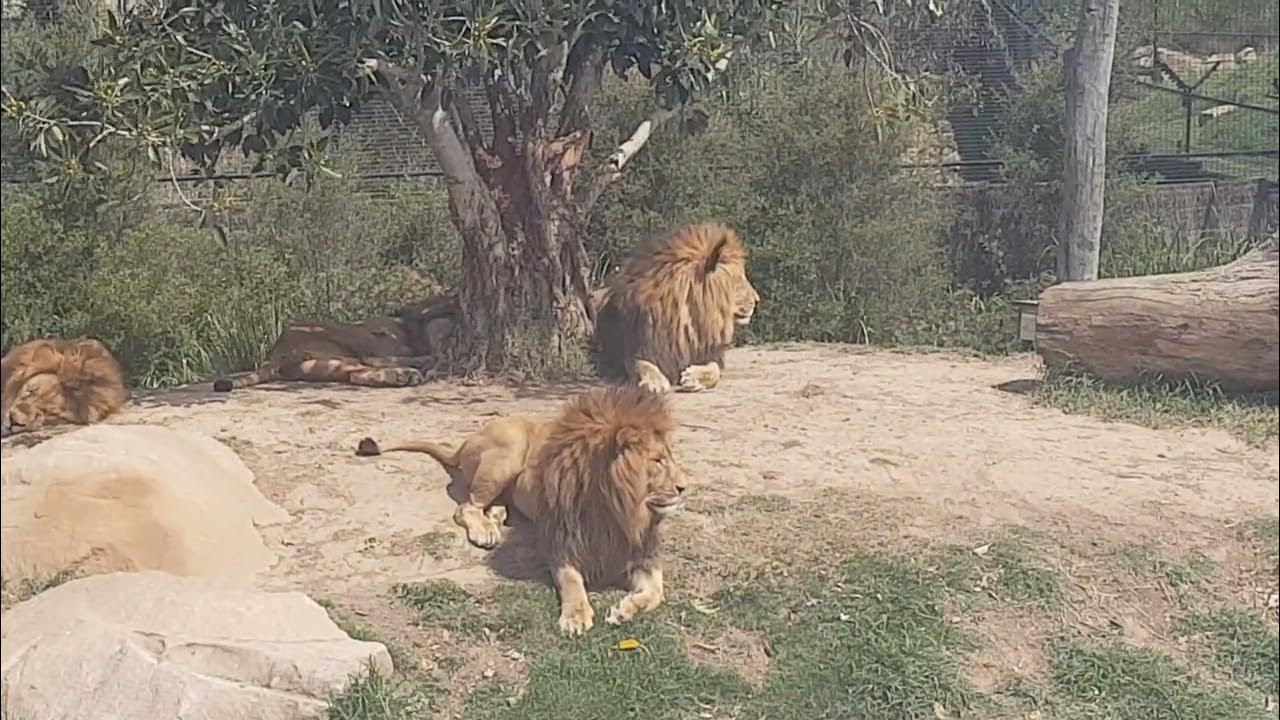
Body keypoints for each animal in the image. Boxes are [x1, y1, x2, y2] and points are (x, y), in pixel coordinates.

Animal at [212, 295, 458, 392]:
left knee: (358, 373)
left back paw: (406, 374)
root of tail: (275, 351)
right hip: (345, 337)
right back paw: (413, 369)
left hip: (329, 363)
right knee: (372, 359)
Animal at [356, 385, 687, 637]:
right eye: (658, 461)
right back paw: (485, 530)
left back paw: (496, 517)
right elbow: (573, 583)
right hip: (508, 450)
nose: (684, 487)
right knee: (466, 506)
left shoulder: (641, 555)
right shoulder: (563, 547)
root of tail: (467, 439)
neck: (619, 512)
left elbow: (657, 593)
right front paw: (576, 616)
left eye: (668, 458)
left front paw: (624, 610)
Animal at [594, 221, 760, 394]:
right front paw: (656, 382)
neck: (690, 315)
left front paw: (692, 378)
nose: (757, 300)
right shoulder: (636, 348)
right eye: (739, 279)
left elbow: (715, 370)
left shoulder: (709, 352)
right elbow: (641, 364)